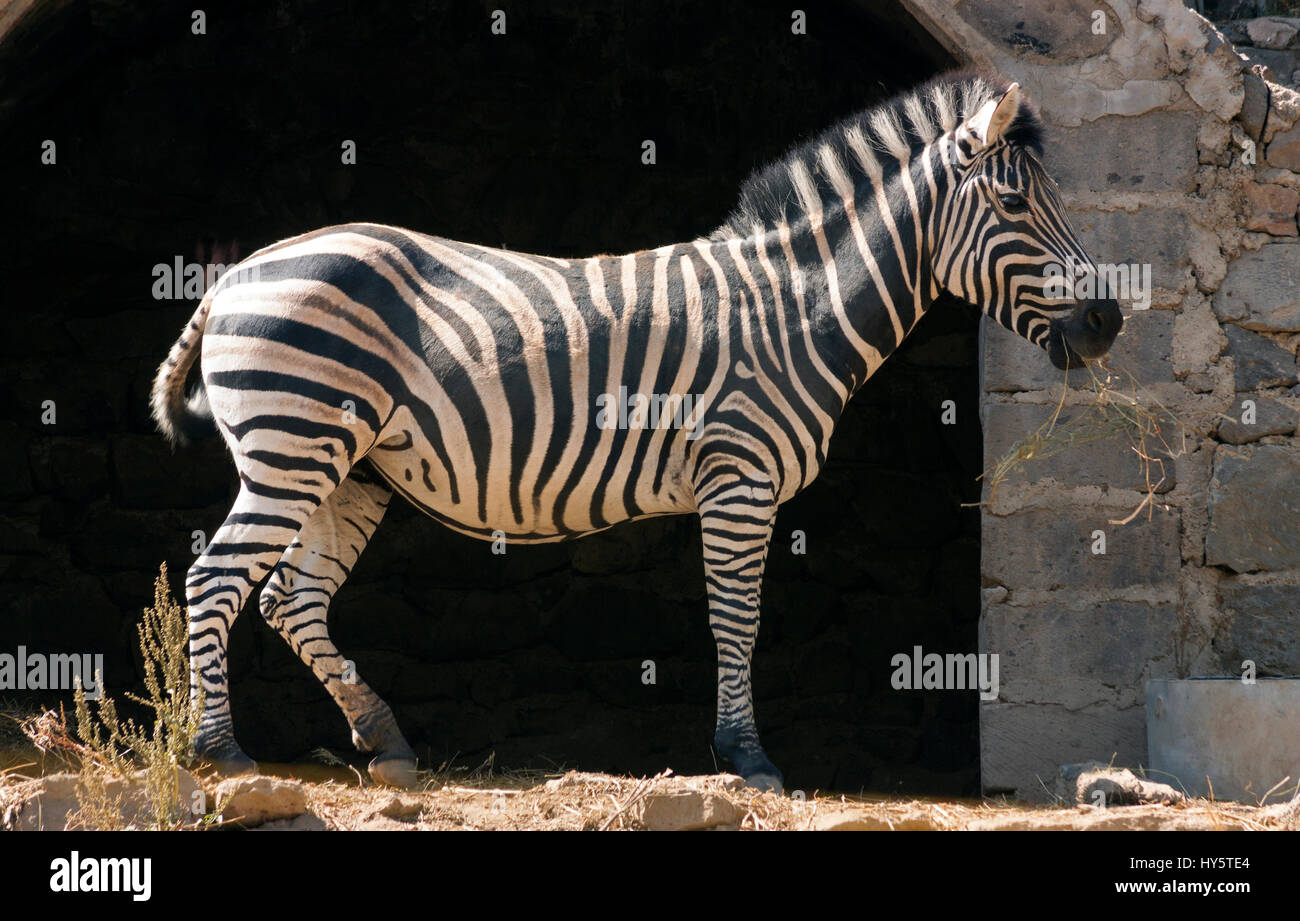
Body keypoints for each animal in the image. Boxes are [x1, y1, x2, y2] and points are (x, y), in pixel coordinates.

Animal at [151, 72, 1123, 793]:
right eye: (1012, 205)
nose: (1109, 320)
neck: (796, 310)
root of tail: (235, 273)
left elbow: (734, 618)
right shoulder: (740, 476)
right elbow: (738, 618)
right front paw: (749, 759)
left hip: (347, 469)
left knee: (289, 597)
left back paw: (384, 740)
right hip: (292, 448)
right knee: (214, 578)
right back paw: (219, 751)